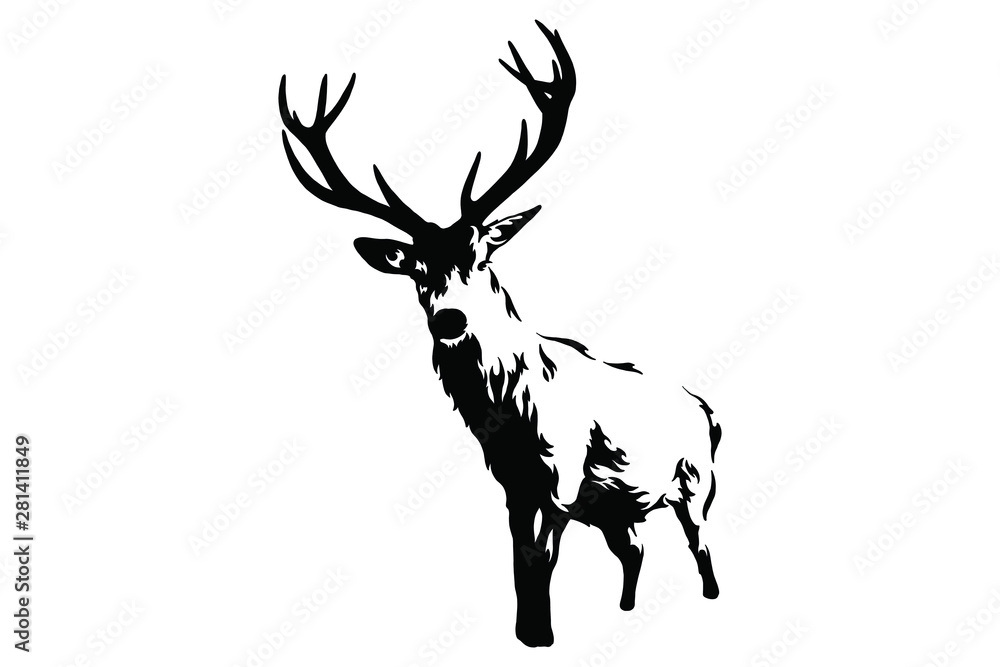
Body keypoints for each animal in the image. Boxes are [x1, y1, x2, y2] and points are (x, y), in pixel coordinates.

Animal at [278, 21, 722, 647]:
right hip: (618, 507)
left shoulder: (561, 475)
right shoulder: (512, 482)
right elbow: (518, 560)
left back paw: (709, 598)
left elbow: (544, 558)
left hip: (697, 482)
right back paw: (627, 611)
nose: (449, 319)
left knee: (700, 544)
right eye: (416, 269)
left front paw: (541, 637)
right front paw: (527, 633)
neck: (513, 413)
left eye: (480, 253)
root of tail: (709, 410)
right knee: (633, 550)